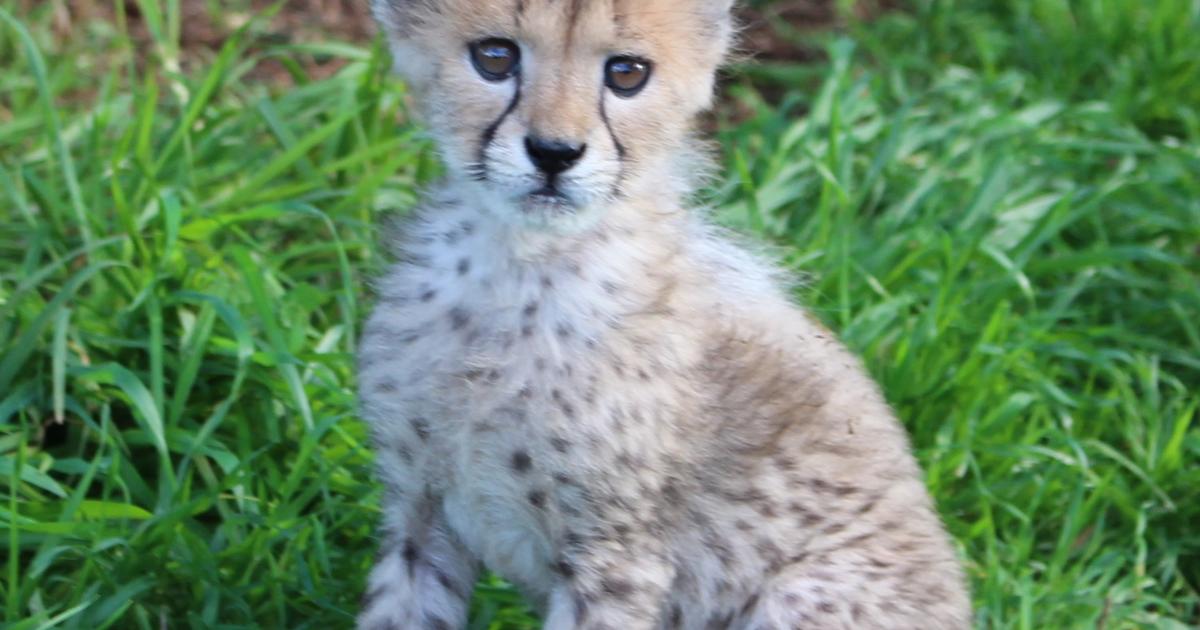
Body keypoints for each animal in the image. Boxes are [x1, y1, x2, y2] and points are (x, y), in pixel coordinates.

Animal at [356, 0, 971, 627]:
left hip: (799, 596)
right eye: (495, 57)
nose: (555, 153)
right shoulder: (420, 511)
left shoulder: (616, 555)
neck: (522, 266)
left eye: (627, 73)